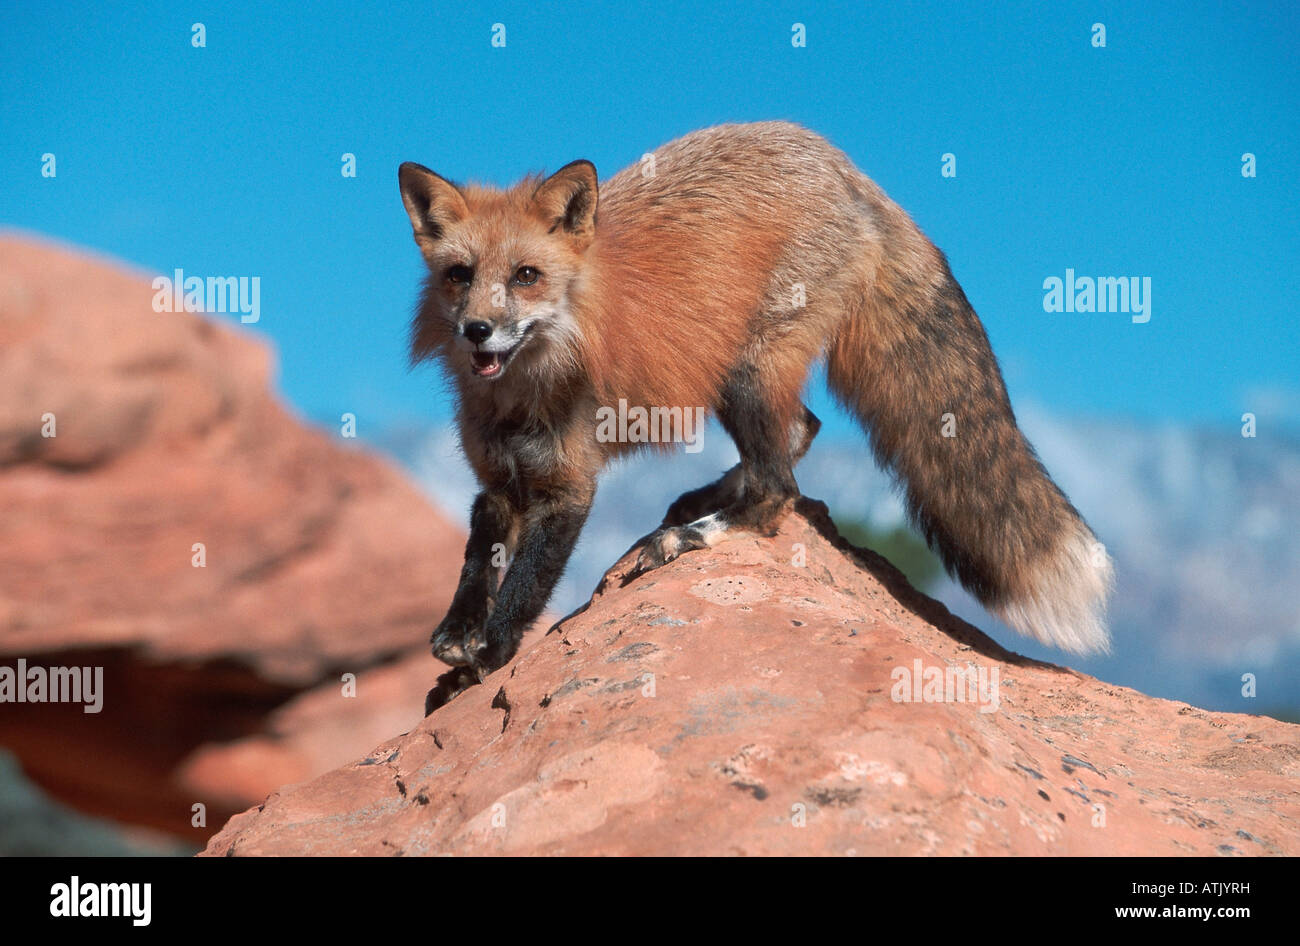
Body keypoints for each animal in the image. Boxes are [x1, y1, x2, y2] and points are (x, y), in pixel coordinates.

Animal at [399, 121, 1114, 705]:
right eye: (460, 275)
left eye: (525, 275)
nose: (478, 331)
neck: (520, 395)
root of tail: (842, 164)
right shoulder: (497, 481)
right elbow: (477, 561)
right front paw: (457, 639)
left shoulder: (566, 488)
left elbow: (523, 588)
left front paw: (484, 662)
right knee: (801, 432)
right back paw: (707, 499)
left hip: (746, 371)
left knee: (780, 494)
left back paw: (692, 533)